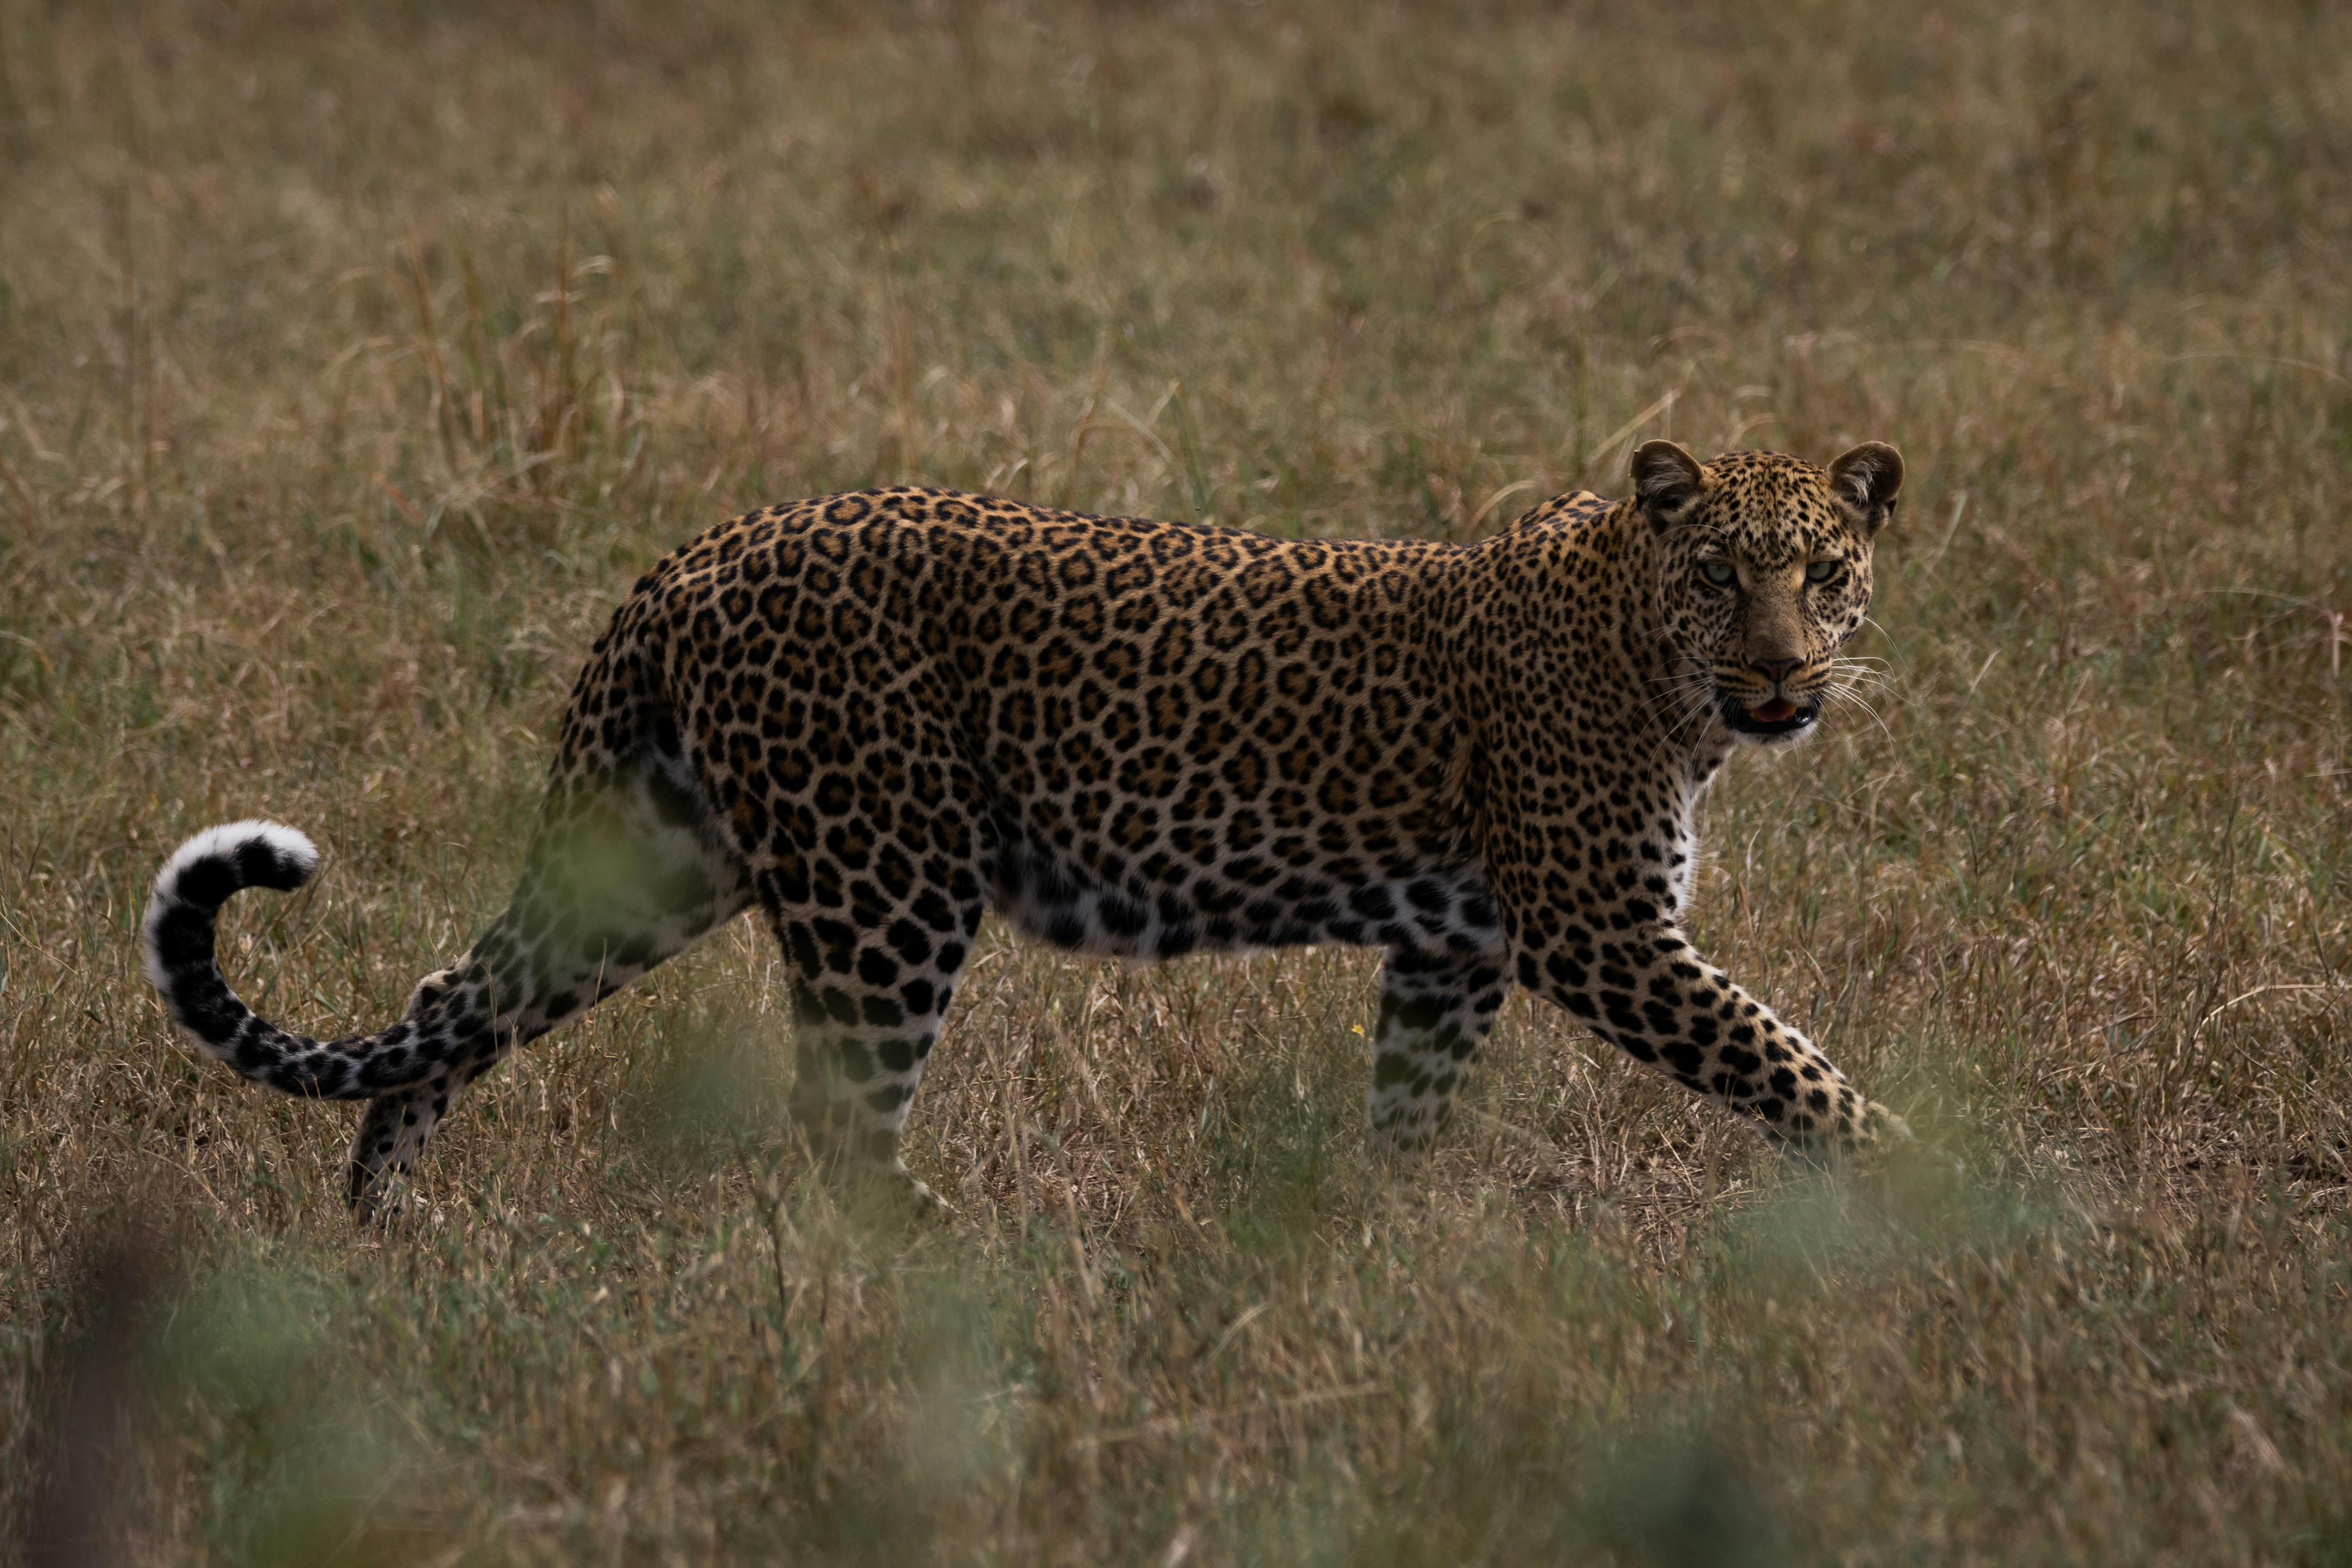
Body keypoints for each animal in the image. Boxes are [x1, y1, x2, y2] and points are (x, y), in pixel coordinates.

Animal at [143, 437, 1910, 1215]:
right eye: (1717, 575)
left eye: (1822, 571)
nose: (1780, 670)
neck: (1646, 659)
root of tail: (693, 556)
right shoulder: (1596, 931)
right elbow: (1794, 1065)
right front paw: (1942, 1191)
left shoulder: (1453, 947)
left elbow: (1406, 1112)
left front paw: (1377, 1244)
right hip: (882, 881)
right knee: (835, 1124)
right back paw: (966, 1264)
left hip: (662, 857)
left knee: (453, 995)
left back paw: (383, 1222)